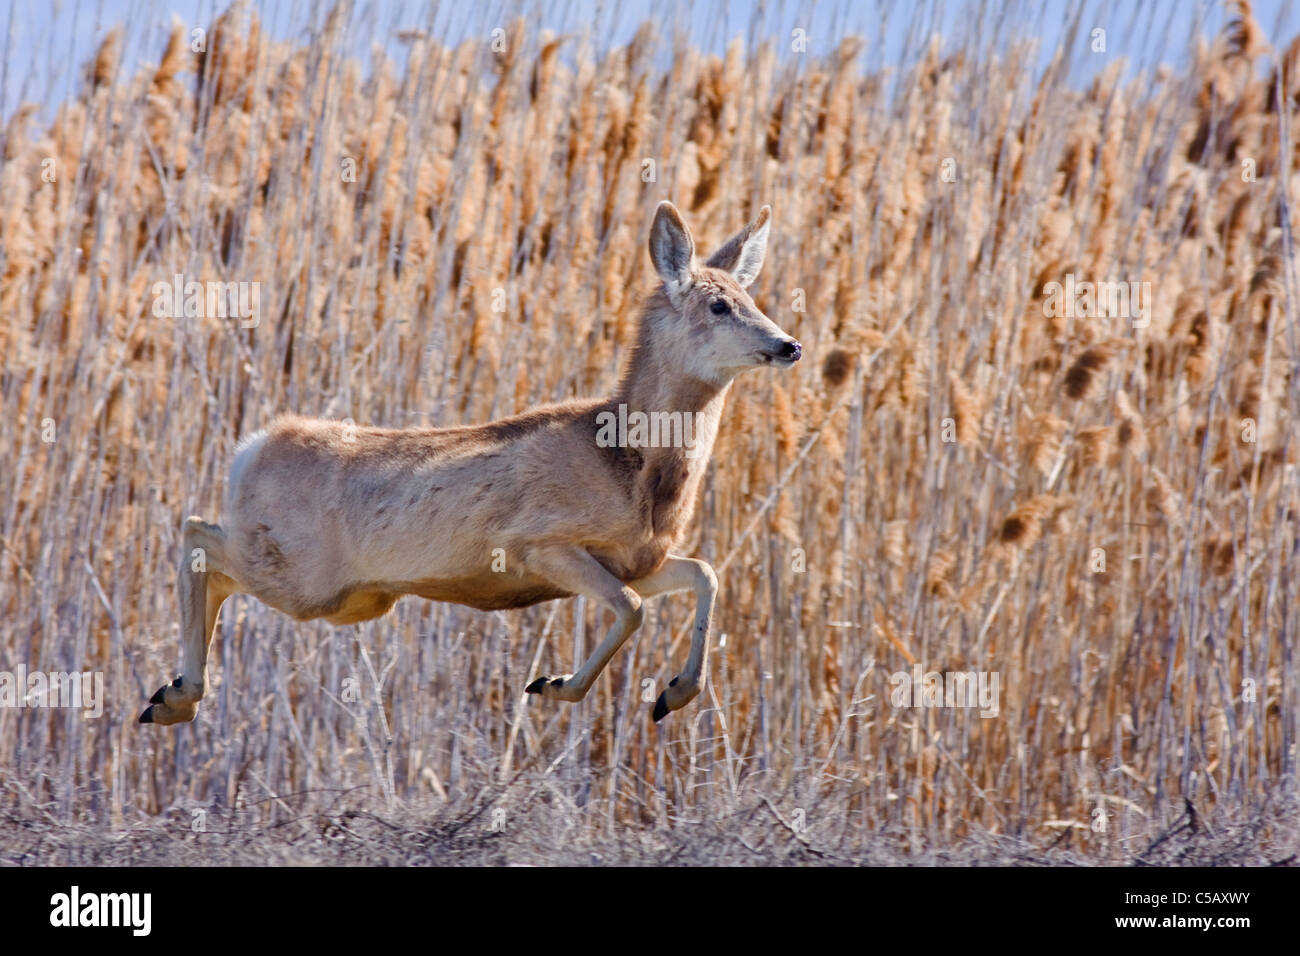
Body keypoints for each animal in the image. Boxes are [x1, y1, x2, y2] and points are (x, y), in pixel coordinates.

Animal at [139, 200, 801, 727]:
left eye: (752, 297)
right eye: (718, 306)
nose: (789, 344)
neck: (630, 463)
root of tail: (249, 449)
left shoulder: (640, 562)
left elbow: (704, 575)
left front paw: (674, 694)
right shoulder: (541, 542)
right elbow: (633, 611)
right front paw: (554, 685)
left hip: (348, 595)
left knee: (211, 559)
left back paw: (171, 696)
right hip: (305, 578)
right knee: (197, 534)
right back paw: (173, 697)